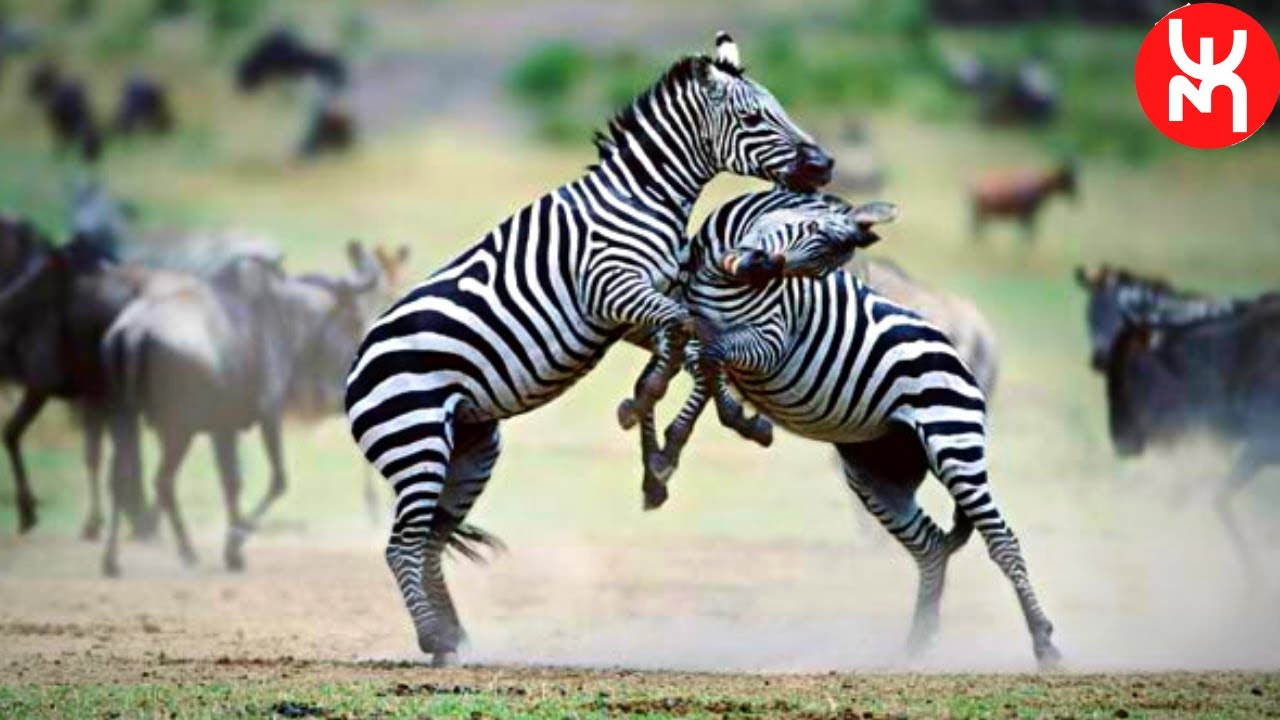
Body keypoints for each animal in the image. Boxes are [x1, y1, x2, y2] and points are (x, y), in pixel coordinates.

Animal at [344, 34, 834, 663]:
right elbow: (684, 335)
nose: (825, 166)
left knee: (429, 539)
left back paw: (453, 636)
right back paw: (434, 639)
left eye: (778, 108)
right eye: (753, 119)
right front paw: (645, 409)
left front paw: (714, 426)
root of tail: (355, 366)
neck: (644, 200)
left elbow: (696, 345)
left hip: (472, 449)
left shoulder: (638, 307)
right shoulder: (612, 289)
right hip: (416, 441)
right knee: (401, 544)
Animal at [628, 189, 1061, 665]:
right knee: (929, 546)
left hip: (952, 439)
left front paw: (676, 446)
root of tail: (962, 354)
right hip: (876, 474)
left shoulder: (770, 343)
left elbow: (708, 359)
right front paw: (663, 446)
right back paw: (917, 645)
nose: (762, 270)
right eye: (814, 233)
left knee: (1002, 540)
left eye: (825, 262)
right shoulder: (690, 324)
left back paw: (1043, 641)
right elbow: (690, 364)